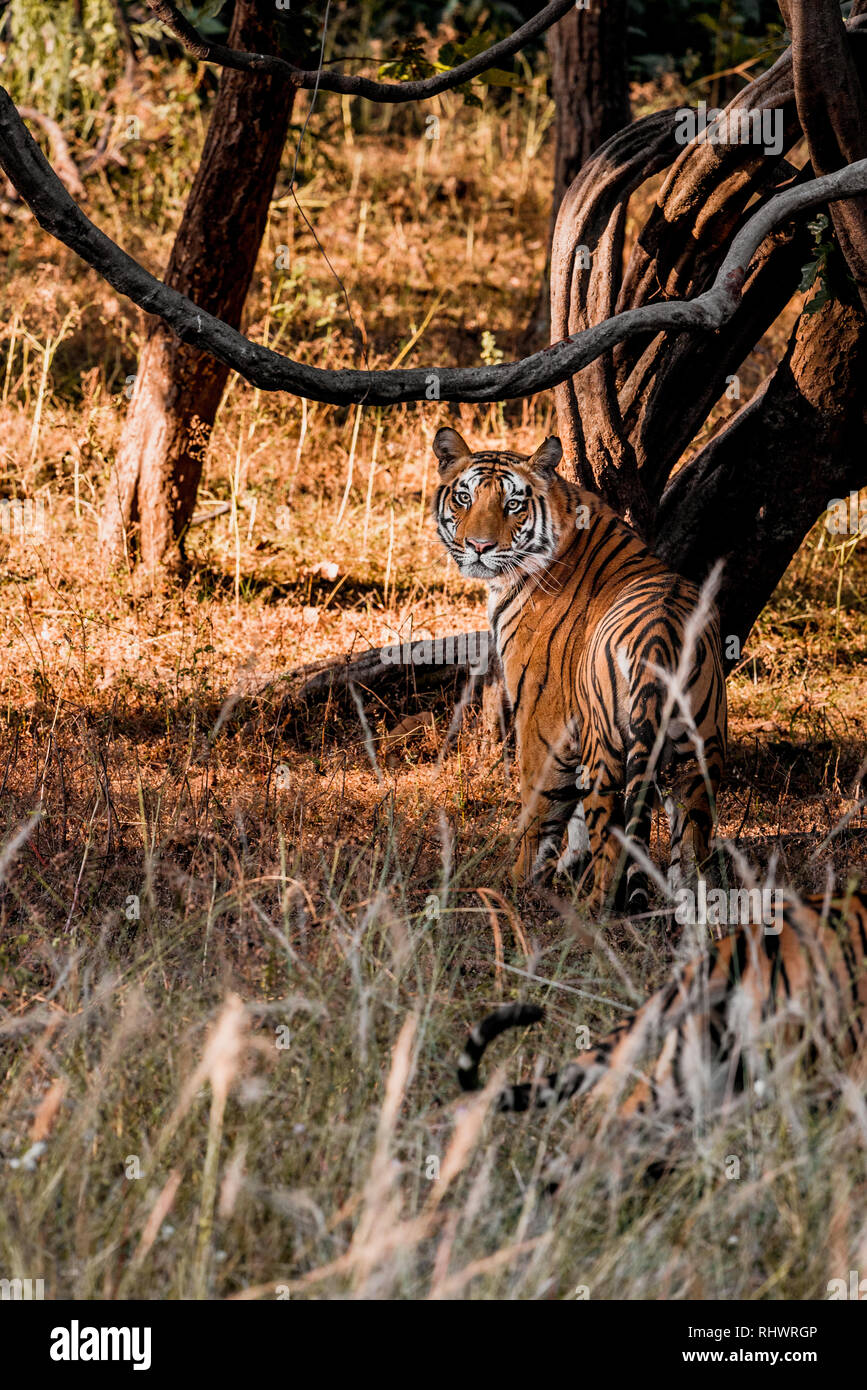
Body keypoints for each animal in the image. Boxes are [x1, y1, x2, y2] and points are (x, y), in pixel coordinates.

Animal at [432, 427, 727, 913]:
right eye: (463, 498)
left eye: (513, 504)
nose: (479, 547)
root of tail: (659, 635)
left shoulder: (542, 722)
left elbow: (540, 811)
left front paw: (516, 884)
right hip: (701, 751)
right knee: (692, 849)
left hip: (607, 748)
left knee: (611, 840)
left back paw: (593, 911)